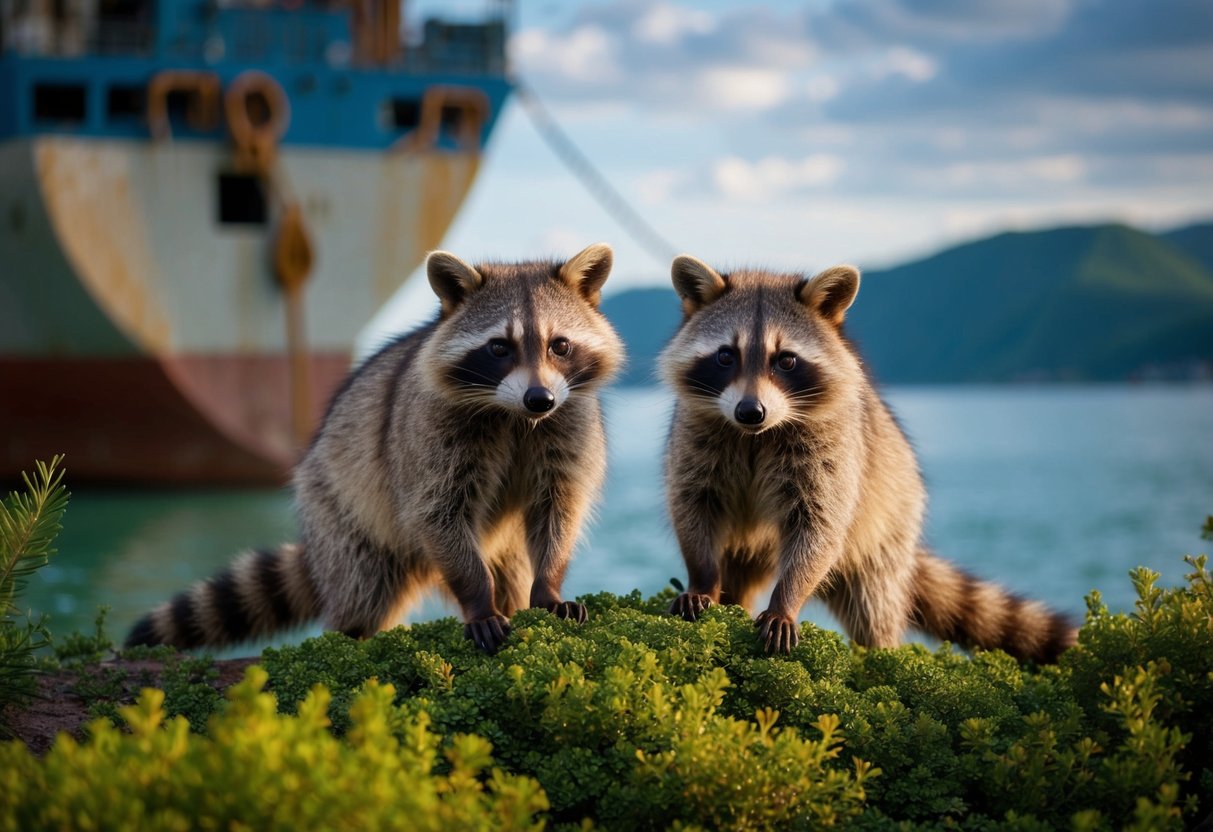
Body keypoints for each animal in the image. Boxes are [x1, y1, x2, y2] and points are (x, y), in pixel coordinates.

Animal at [126, 243, 624, 653]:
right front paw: (478, 599)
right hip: (341, 515)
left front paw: (549, 586)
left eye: (560, 345)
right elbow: (438, 512)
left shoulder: (569, 423)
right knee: (362, 588)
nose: (539, 399)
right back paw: (353, 634)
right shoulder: (431, 437)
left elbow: (560, 506)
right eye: (499, 347)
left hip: (499, 541)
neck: (514, 416)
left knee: (511, 565)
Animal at [661, 255, 1076, 662]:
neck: (754, 437)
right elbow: (692, 505)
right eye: (725, 356)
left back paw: (879, 652)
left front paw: (786, 599)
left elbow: (819, 526)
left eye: (786, 361)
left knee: (873, 604)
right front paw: (703, 580)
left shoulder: (831, 451)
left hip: (885, 531)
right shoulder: (694, 439)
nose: (750, 412)